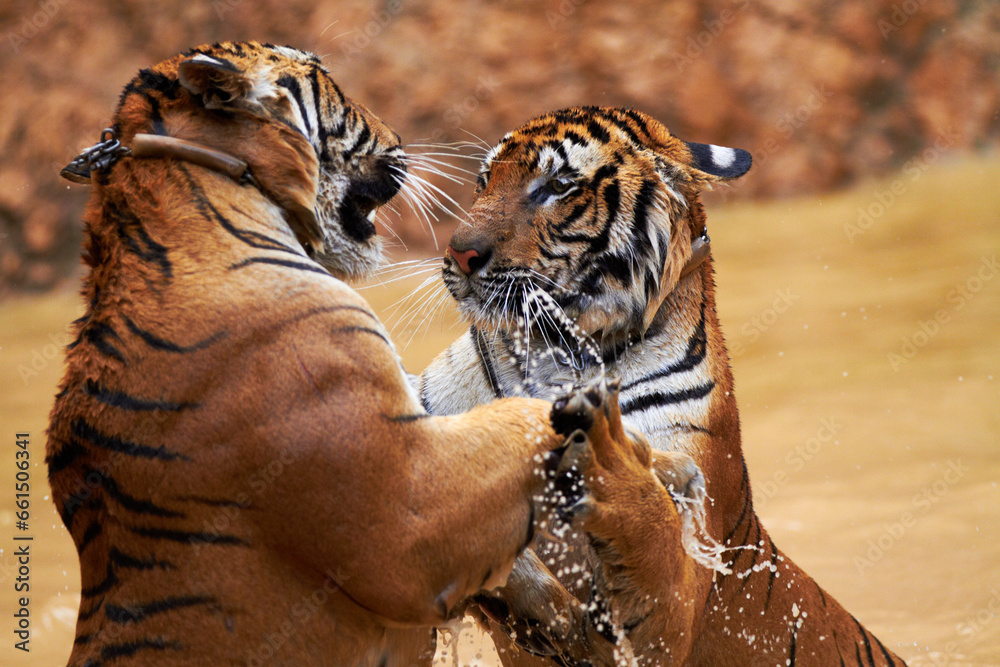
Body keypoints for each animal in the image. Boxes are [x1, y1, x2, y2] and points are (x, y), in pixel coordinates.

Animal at [419, 106, 907, 665]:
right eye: (484, 181)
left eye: (557, 186)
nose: (460, 253)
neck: (551, 353)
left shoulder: (672, 606)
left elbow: (653, 530)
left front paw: (607, 464)